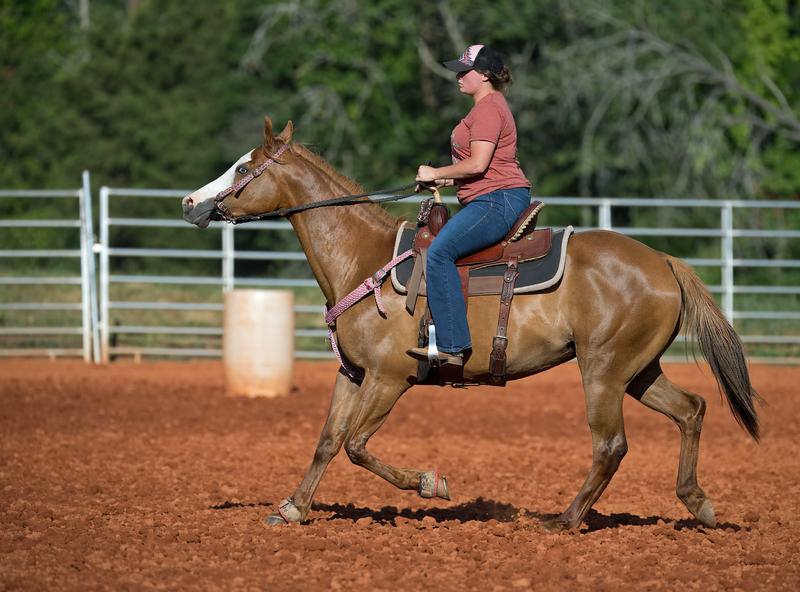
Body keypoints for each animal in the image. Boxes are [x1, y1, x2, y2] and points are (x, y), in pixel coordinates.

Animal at [182, 117, 760, 530]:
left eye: (242, 169)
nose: (190, 202)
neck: (365, 257)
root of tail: (663, 260)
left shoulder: (389, 379)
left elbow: (357, 446)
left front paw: (431, 484)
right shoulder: (353, 374)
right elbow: (328, 441)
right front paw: (293, 508)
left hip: (603, 370)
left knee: (610, 445)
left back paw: (564, 520)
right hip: (637, 370)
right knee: (691, 410)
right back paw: (699, 505)